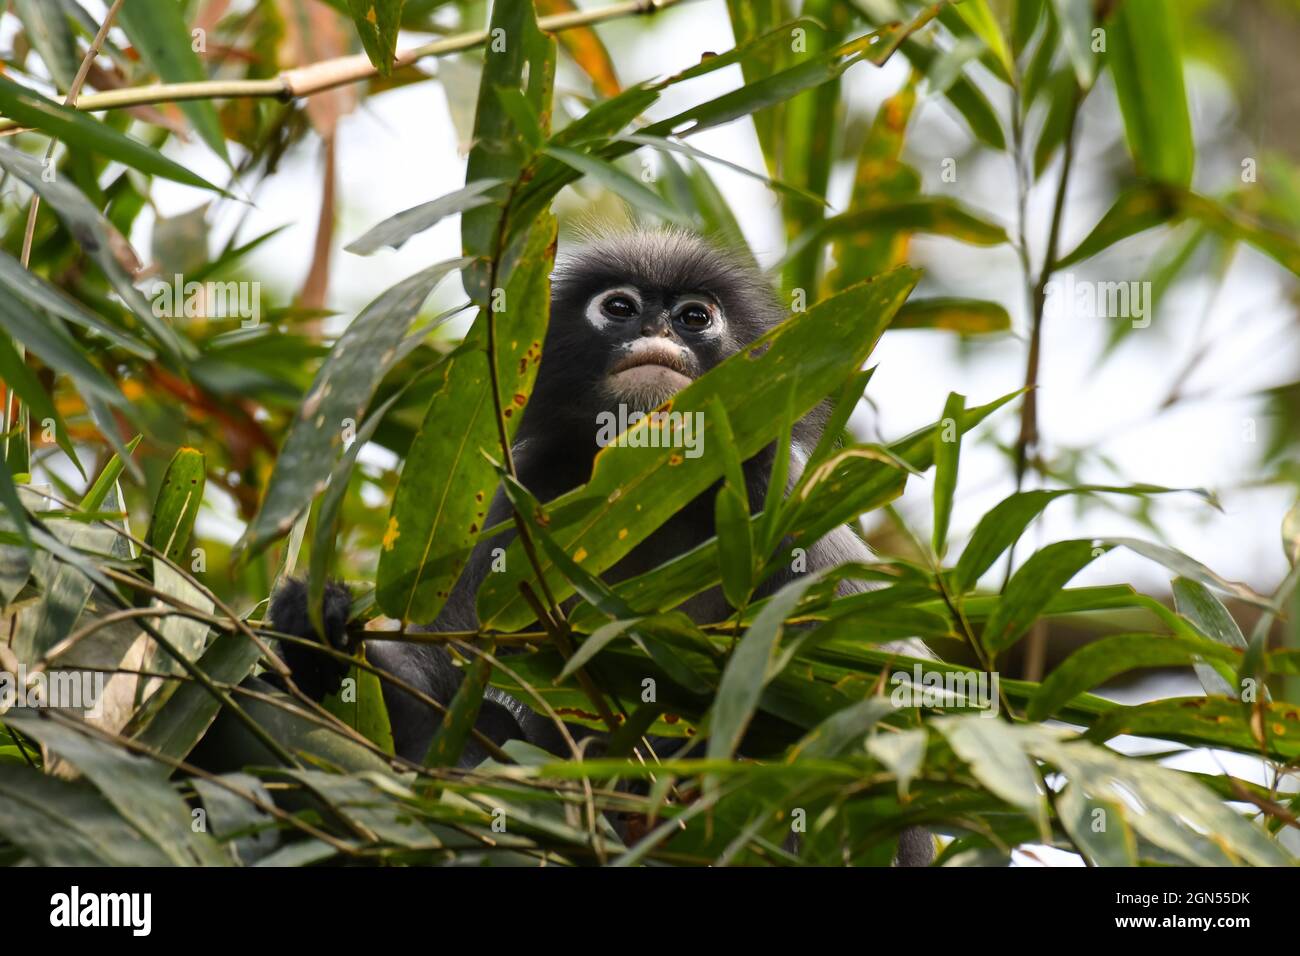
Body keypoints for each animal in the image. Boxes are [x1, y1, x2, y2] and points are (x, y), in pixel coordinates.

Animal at [269, 229, 934, 865]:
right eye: (620, 308)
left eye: (695, 317)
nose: (656, 330)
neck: (647, 492)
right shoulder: (522, 500)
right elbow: (443, 672)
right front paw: (313, 624)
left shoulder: (790, 507)